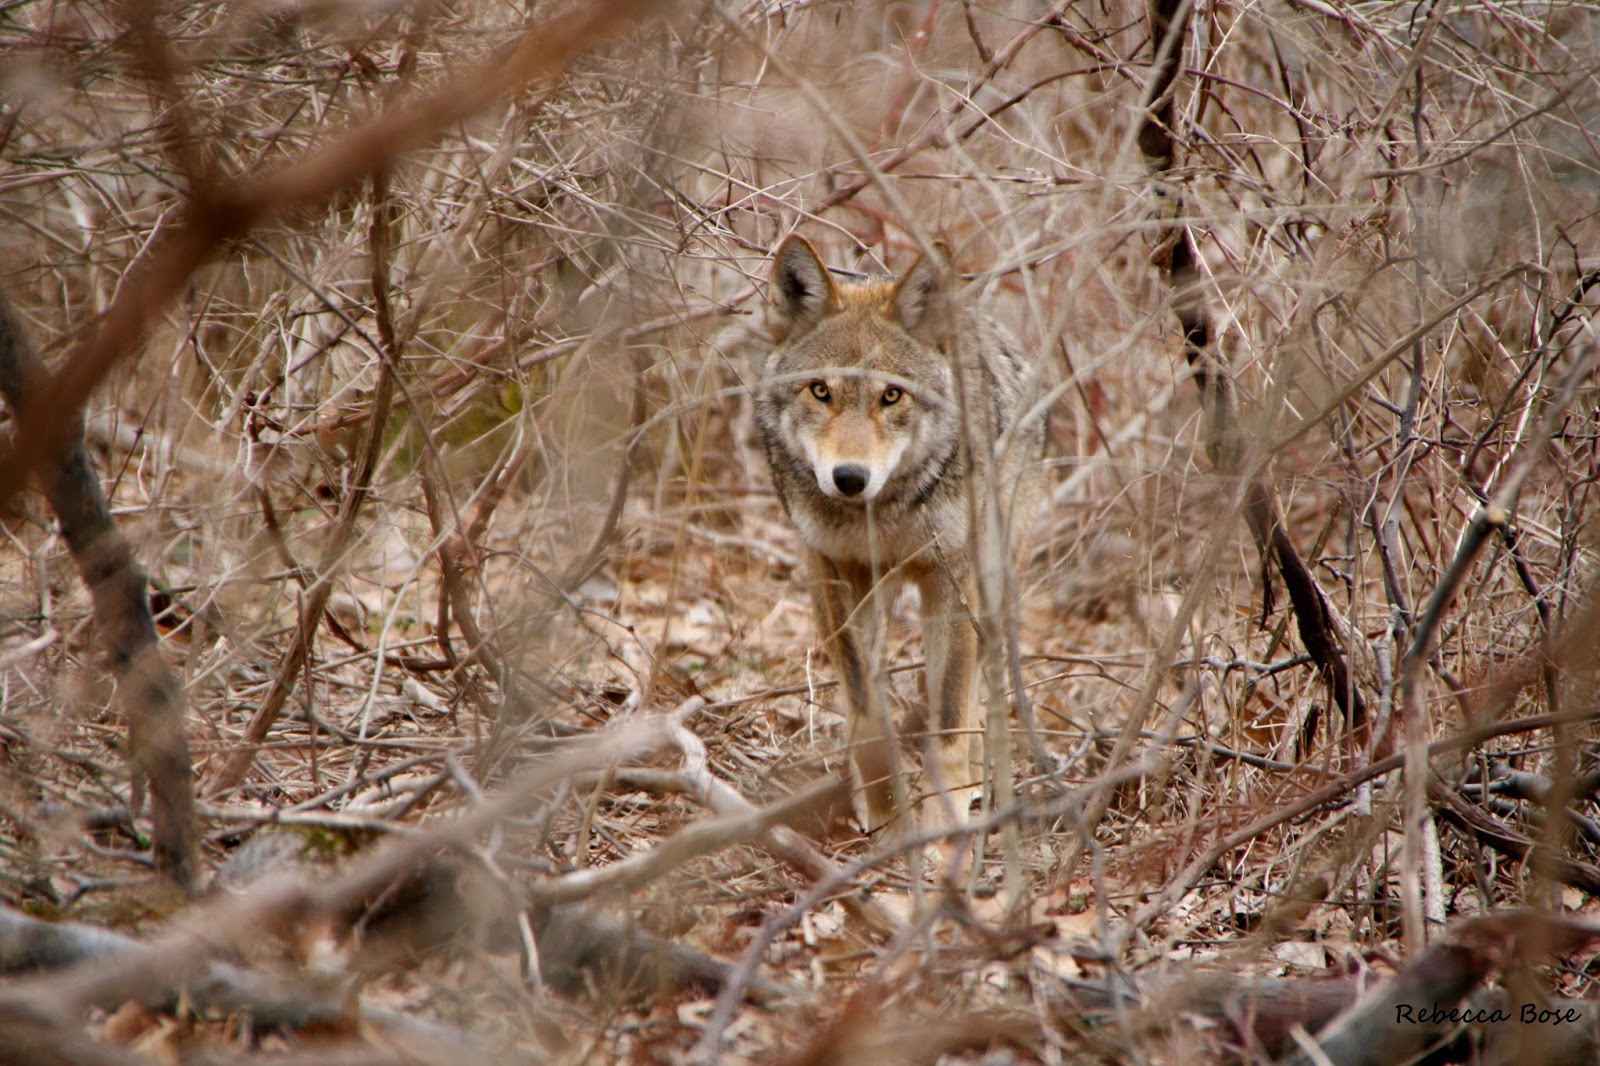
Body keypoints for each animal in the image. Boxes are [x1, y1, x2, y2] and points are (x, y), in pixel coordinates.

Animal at [754, 235, 1046, 832]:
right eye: (820, 391)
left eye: (892, 396)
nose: (849, 478)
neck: (883, 512)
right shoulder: (834, 573)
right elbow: (867, 710)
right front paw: (888, 811)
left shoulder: (950, 578)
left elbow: (950, 716)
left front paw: (945, 825)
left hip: (993, 584)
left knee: (981, 687)